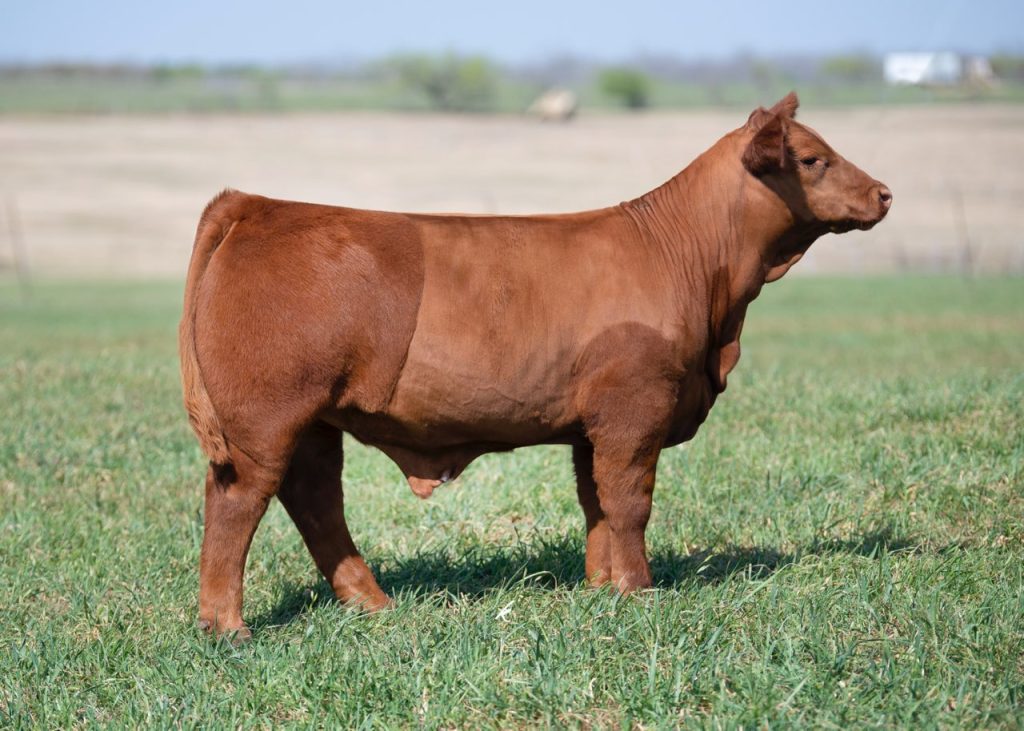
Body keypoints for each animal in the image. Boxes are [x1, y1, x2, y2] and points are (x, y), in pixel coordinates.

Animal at [180, 92, 891, 639]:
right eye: (813, 159)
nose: (884, 193)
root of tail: (258, 204)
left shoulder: (593, 425)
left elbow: (596, 502)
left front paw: (603, 586)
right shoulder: (637, 408)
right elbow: (631, 500)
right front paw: (640, 590)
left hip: (316, 423)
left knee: (315, 500)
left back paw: (372, 602)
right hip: (268, 418)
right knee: (238, 502)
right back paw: (226, 626)